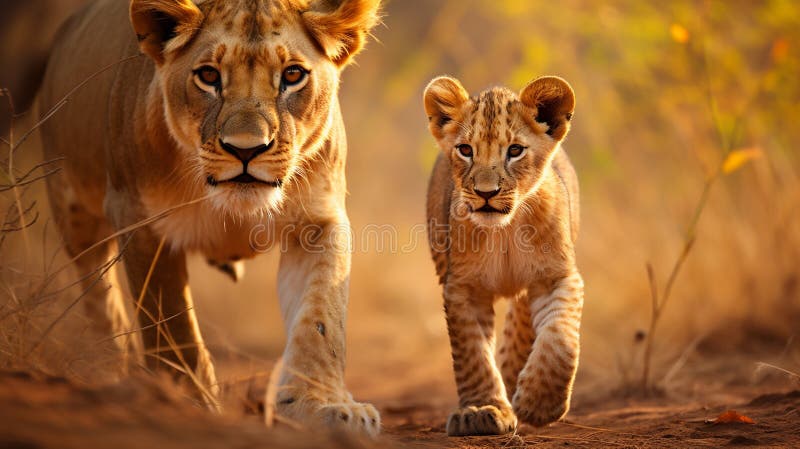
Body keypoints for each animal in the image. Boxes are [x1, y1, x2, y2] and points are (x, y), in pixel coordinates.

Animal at [38, 0, 381, 436]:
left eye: (292, 75)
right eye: (208, 76)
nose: (246, 149)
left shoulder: (317, 223)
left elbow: (321, 320)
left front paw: (324, 406)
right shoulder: (140, 219)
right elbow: (169, 320)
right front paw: (188, 398)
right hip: (76, 215)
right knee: (99, 290)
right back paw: (110, 370)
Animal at [423, 75, 584, 435]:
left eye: (514, 151)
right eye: (466, 150)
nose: (486, 193)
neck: (505, 230)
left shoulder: (558, 276)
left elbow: (560, 339)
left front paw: (540, 404)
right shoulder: (462, 288)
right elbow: (473, 355)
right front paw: (481, 410)